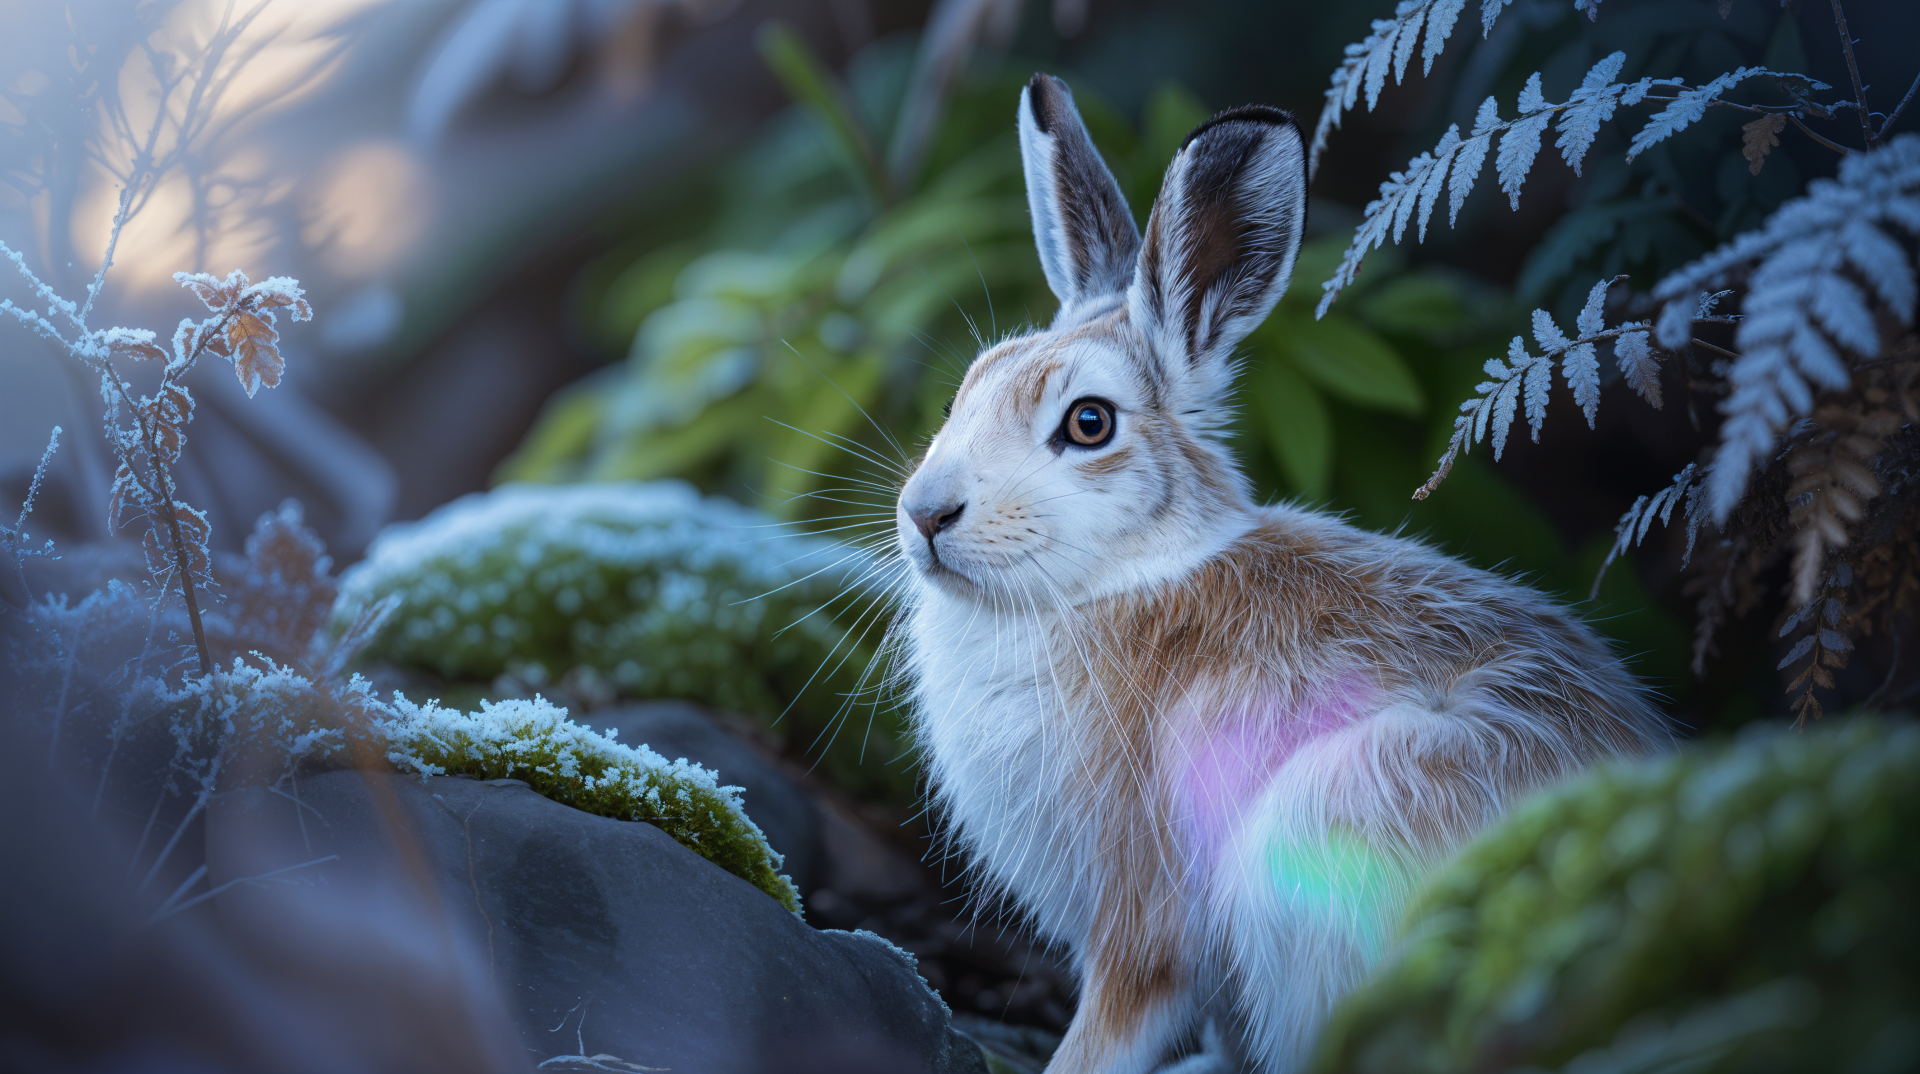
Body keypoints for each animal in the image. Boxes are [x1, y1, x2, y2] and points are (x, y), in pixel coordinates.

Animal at [890, 73, 1670, 1074]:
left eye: (1089, 424)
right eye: (970, 387)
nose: (926, 514)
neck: (1120, 581)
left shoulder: (1142, 923)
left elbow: (1107, 1032)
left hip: (1336, 825)